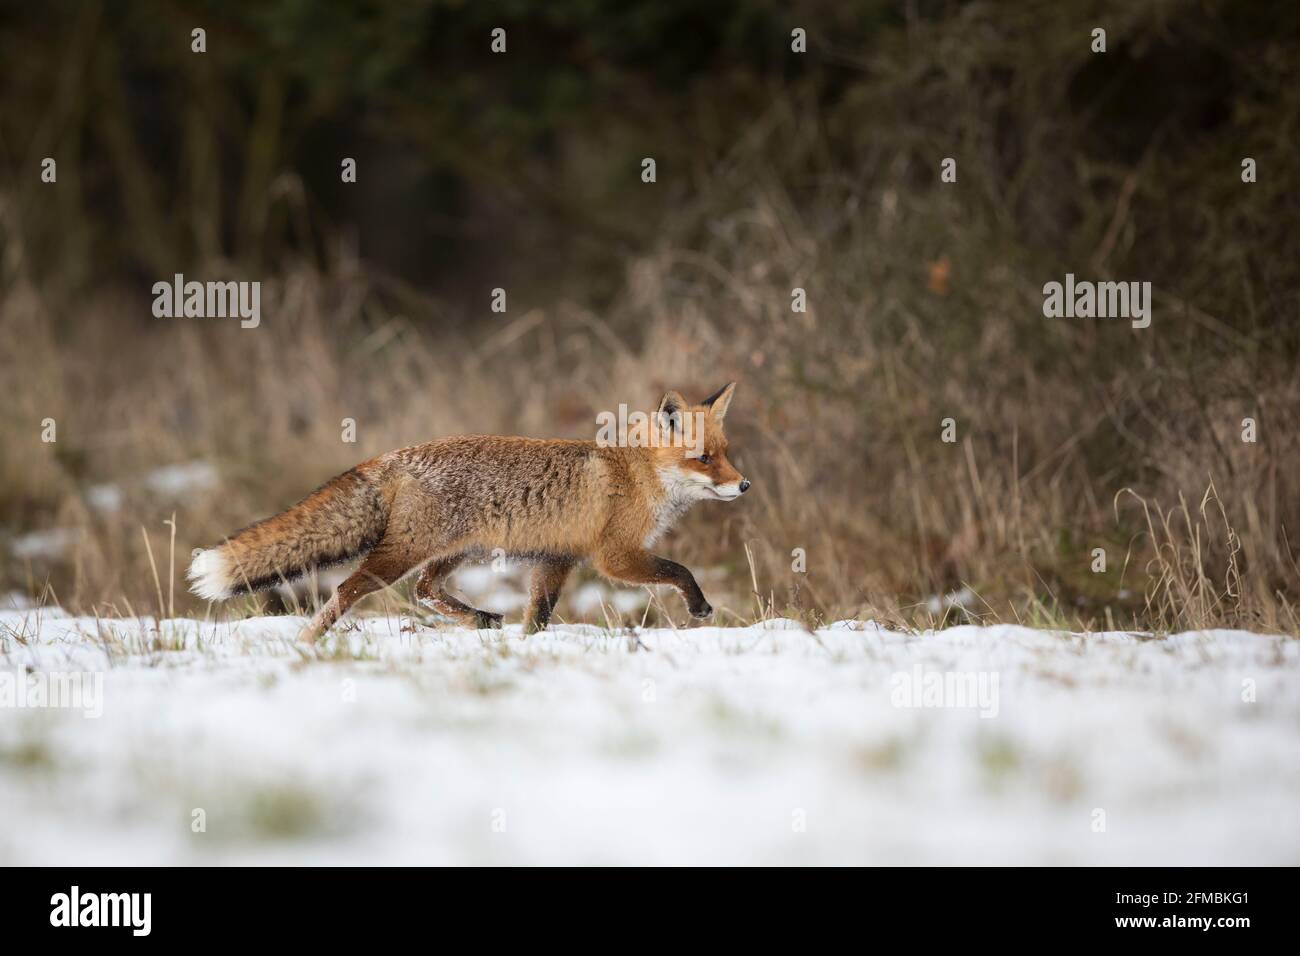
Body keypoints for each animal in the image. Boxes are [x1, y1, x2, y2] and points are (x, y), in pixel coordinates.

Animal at [188, 383, 749, 641]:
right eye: (703, 459)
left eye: (727, 453)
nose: (743, 484)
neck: (636, 473)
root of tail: (392, 455)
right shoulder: (616, 557)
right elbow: (679, 570)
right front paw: (700, 607)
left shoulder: (556, 558)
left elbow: (538, 614)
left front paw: (528, 645)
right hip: (403, 554)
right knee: (349, 589)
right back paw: (308, 643)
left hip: (456, 552)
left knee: (425, 590)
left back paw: (479, 618)